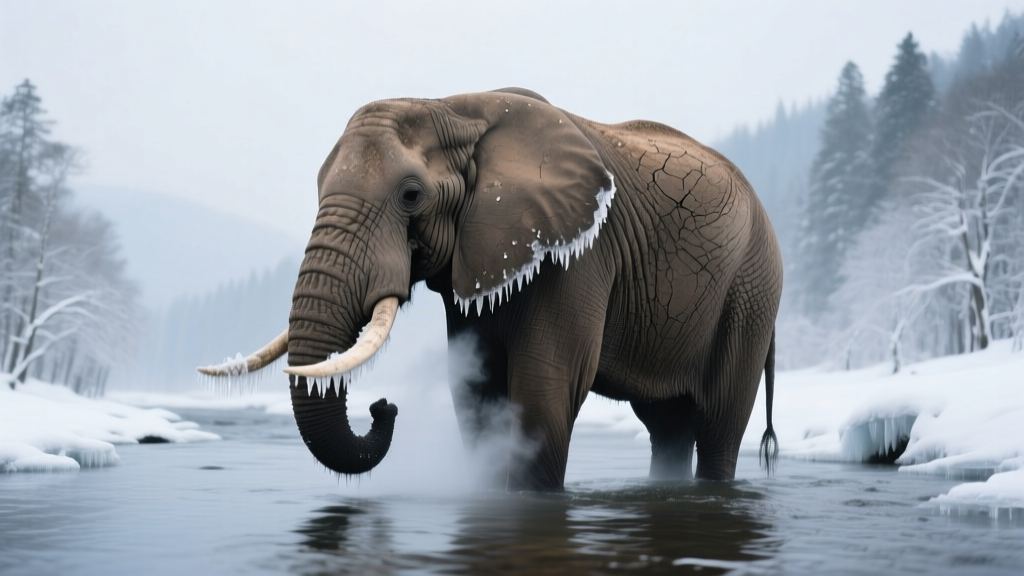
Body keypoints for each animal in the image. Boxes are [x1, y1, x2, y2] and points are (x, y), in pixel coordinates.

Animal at [199, 87, 782, 490]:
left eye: (411, 195)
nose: (383, 406)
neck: (456, 107)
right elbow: (475, 394)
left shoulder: (576, 257)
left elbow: (545, 393)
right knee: (667, 426)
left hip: (751, 290)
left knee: (718, 423)